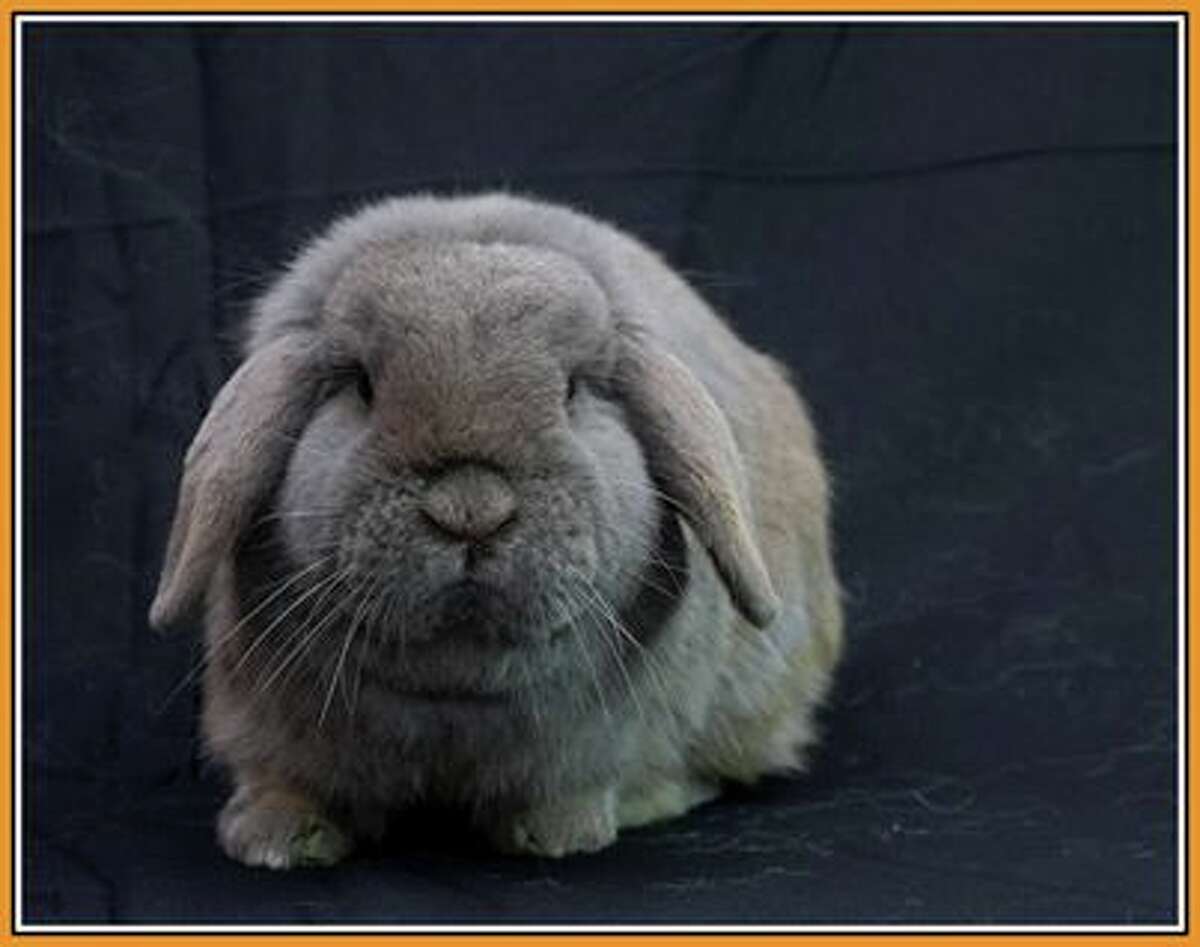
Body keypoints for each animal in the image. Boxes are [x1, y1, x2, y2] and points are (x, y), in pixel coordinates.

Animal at [150, 192, 843, 868]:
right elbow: (287, 782)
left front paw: (558, 834)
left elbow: (582, 786)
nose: (470, 511)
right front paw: (274, 839)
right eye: (362, 386)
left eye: (573, 391)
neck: (455, 700)